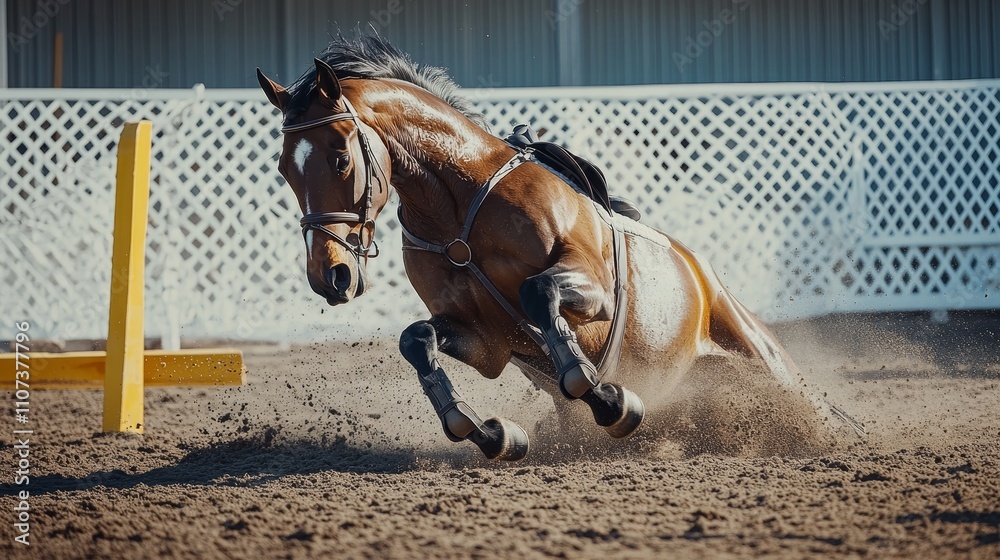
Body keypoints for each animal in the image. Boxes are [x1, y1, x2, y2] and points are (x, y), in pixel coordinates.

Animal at [256, 35, 837, 461]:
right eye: (285, 169)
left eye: (339, 159)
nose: (329, 276)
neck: (461, 211)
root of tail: (706, 278)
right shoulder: (486, 340)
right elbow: (417, 341)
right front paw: (488, 432)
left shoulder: (592, 287)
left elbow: (541, 300)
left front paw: (611, 400)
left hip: (767, 368)